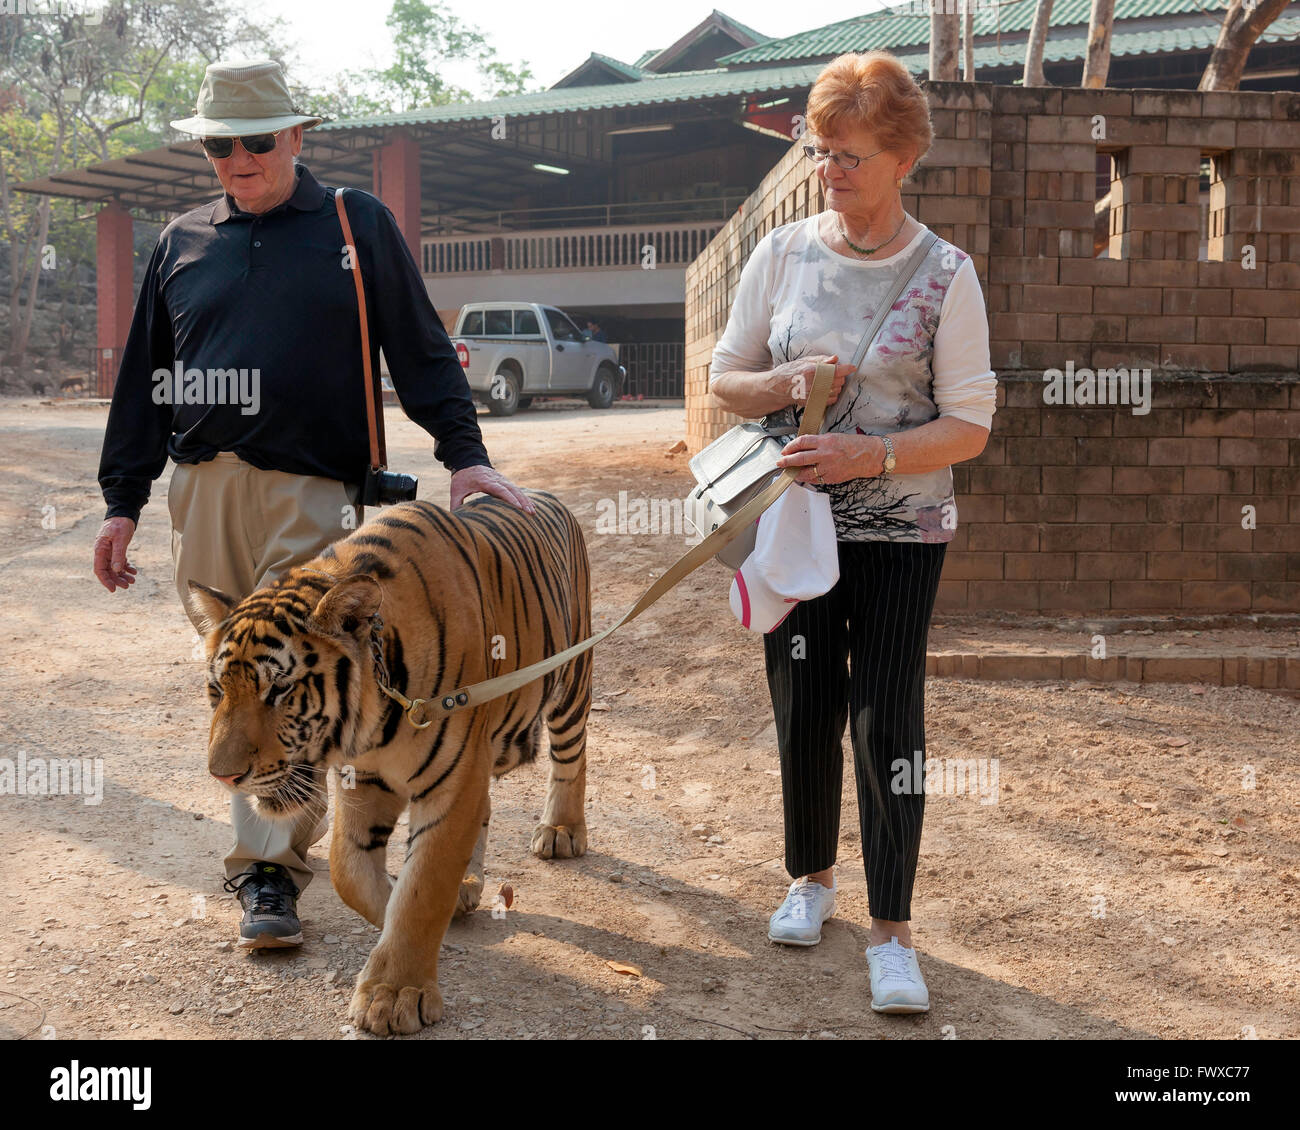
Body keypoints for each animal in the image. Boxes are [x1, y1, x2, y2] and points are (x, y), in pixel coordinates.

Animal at [187, 489, 593, 1036]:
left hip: (571, 681)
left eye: (280, 690)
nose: (223, 775)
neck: (377, 717)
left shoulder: (451, 783)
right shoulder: (366, 779)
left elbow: (423, 889)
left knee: (571, 756)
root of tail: (544, 497)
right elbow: (350, 872)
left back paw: (561, 831)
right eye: (217, 690)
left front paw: (396, 993)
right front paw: (397, 912)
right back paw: (468, 887)